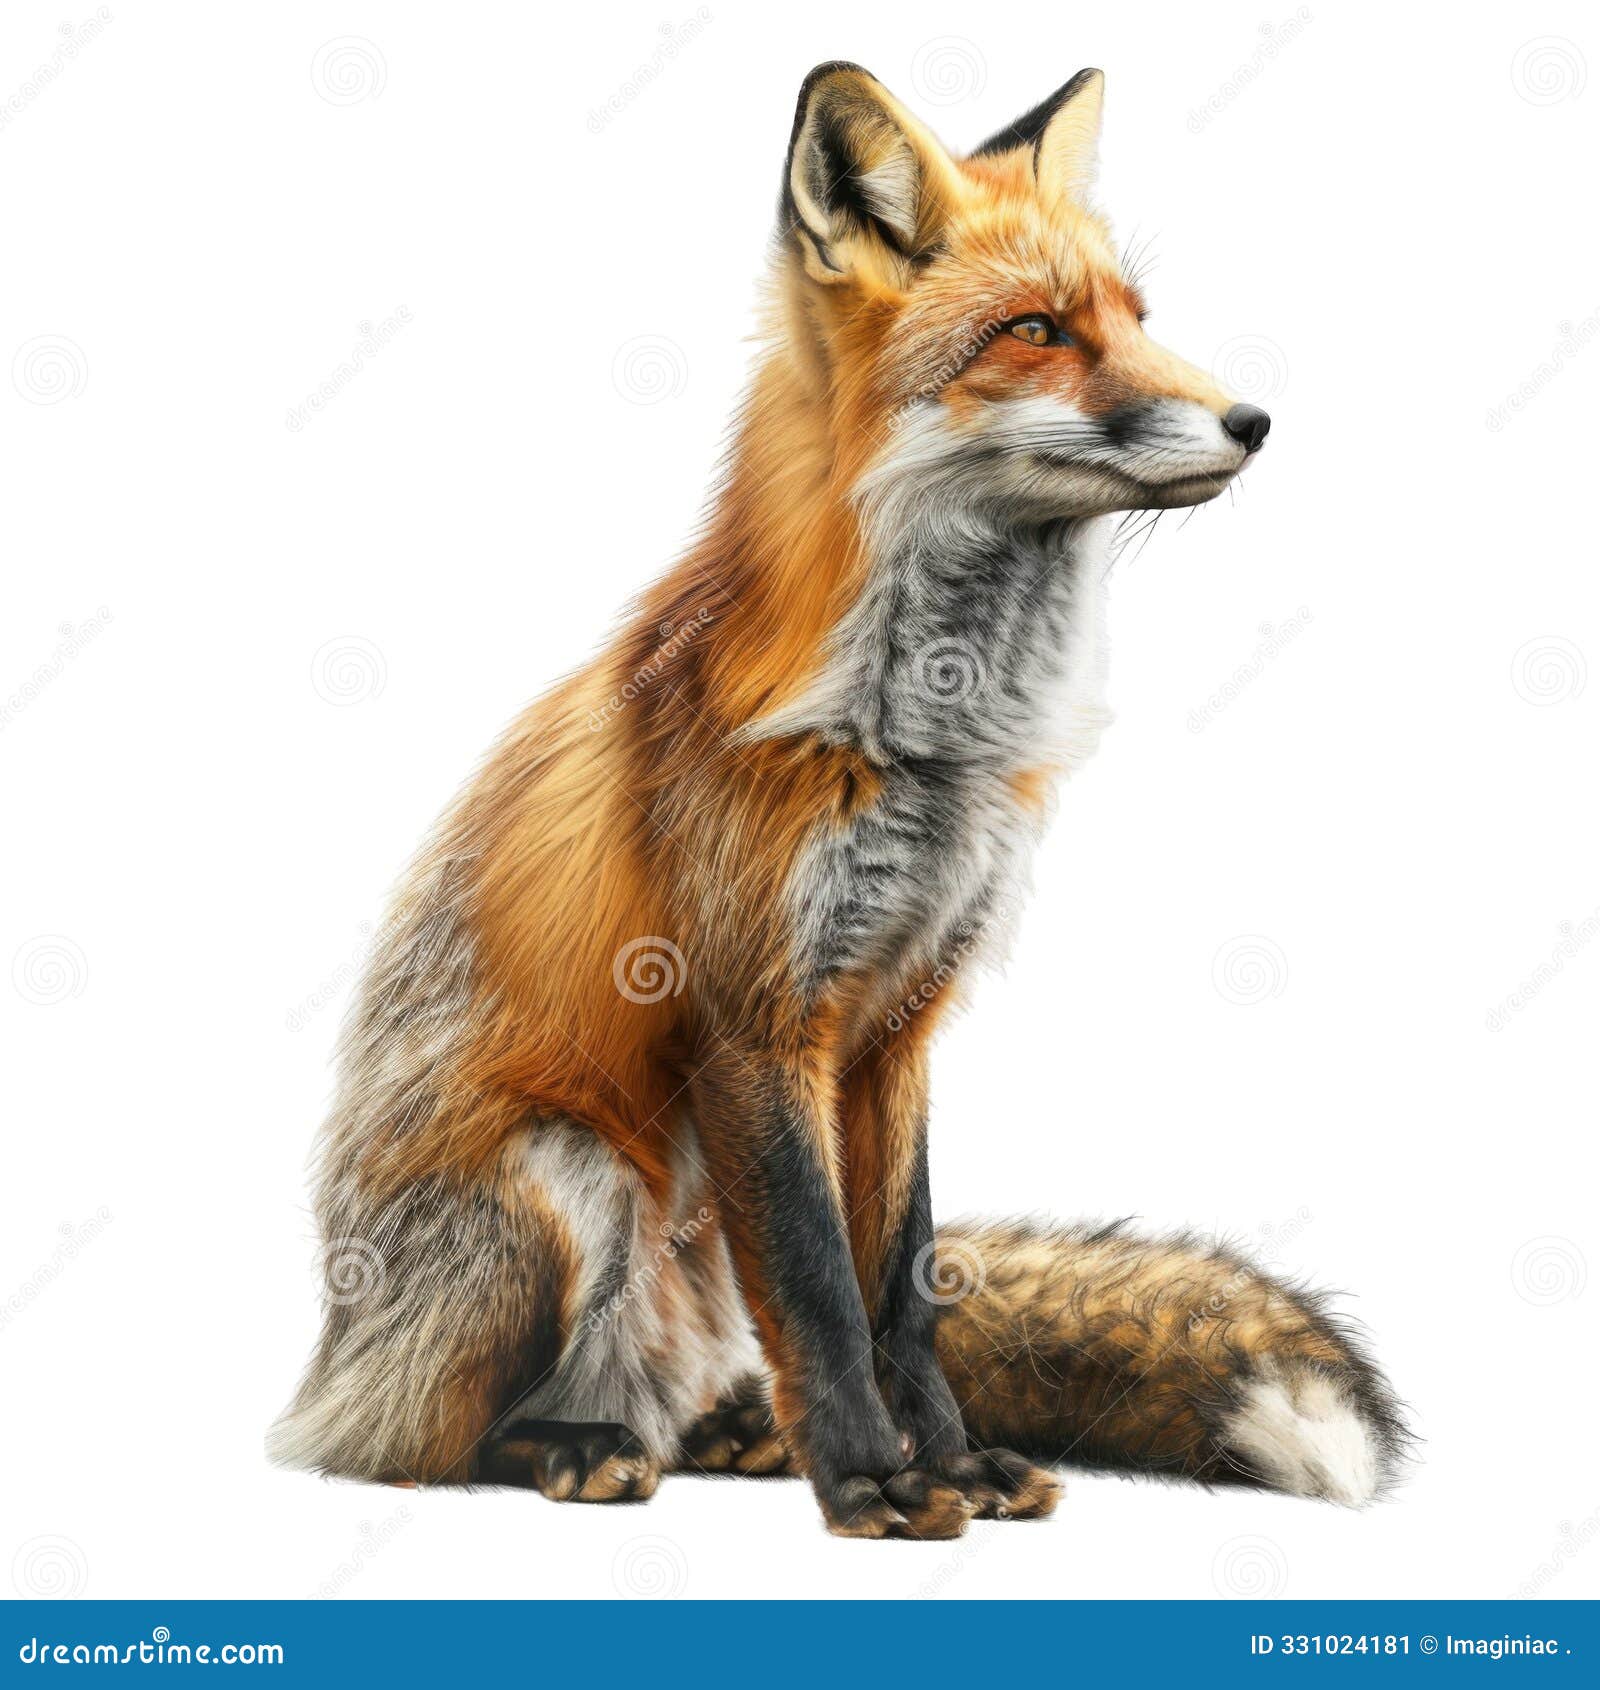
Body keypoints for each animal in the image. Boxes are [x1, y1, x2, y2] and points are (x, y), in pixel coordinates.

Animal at [270, 63, 1405, 1539]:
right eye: (1035, 332)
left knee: (690, 1390)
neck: (927, 746)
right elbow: (817, 1280)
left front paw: (950, 1458)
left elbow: (903, 1282)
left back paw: (733, 1431)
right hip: (573, 1179)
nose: (1253, 422)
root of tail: (324, 1372)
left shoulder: (899, 1021)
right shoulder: (755, 1022)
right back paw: (578, 1445)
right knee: (431, 1443)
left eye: (1136, 321)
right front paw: (871, 1474)